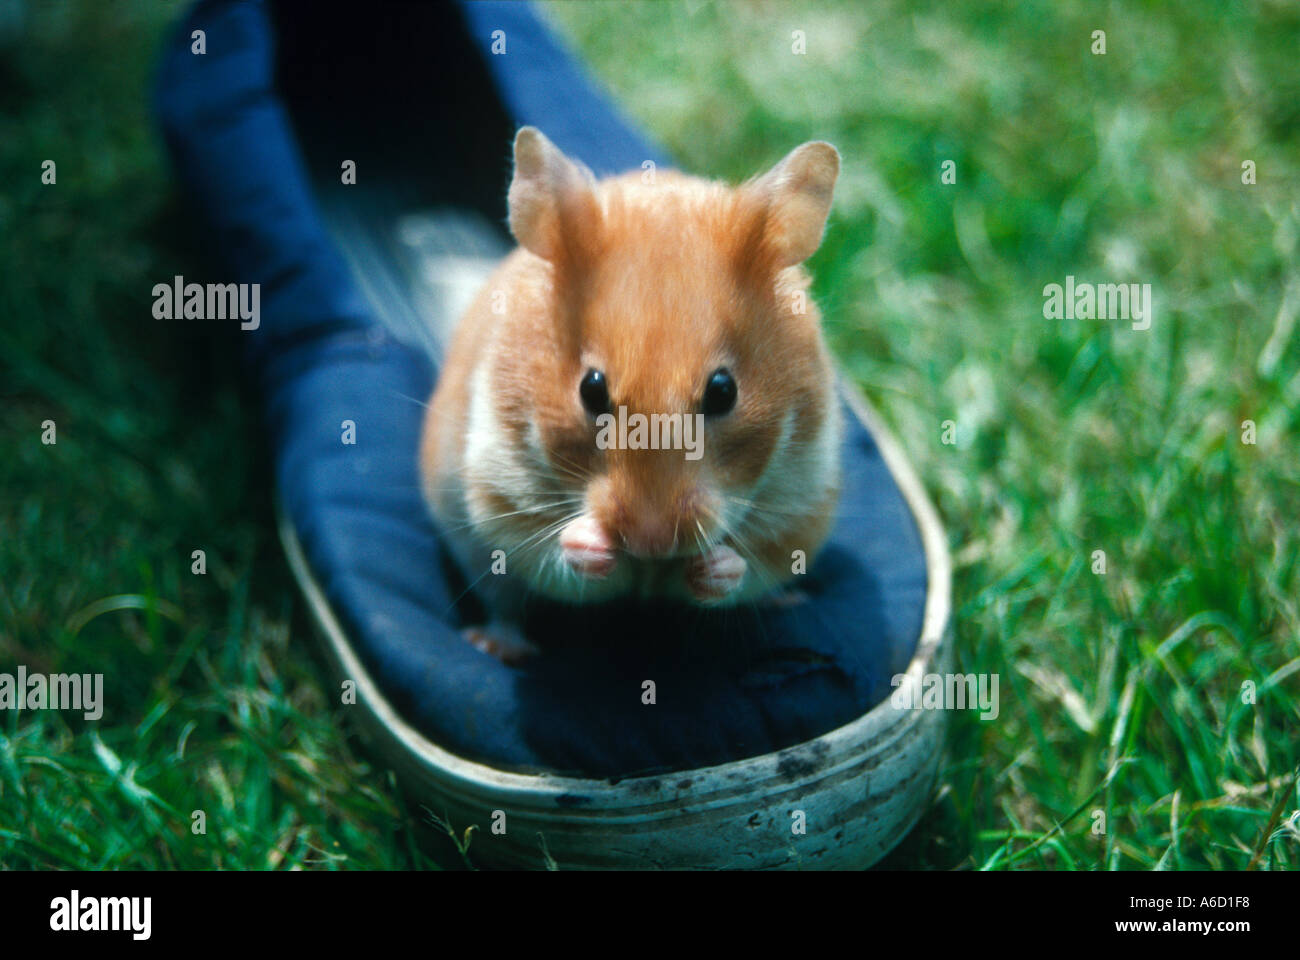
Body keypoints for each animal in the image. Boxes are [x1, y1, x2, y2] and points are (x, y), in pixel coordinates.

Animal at [420, 127, 842, 661]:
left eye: (723, 391)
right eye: (591, 389)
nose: (650, 542)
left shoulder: (800, 506)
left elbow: (745, 568)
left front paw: (715, 566)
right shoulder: (499, 494)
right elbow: (552, 556)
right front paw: (590, 545)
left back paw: (786, 600)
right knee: (504, 604)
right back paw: (495, 646)